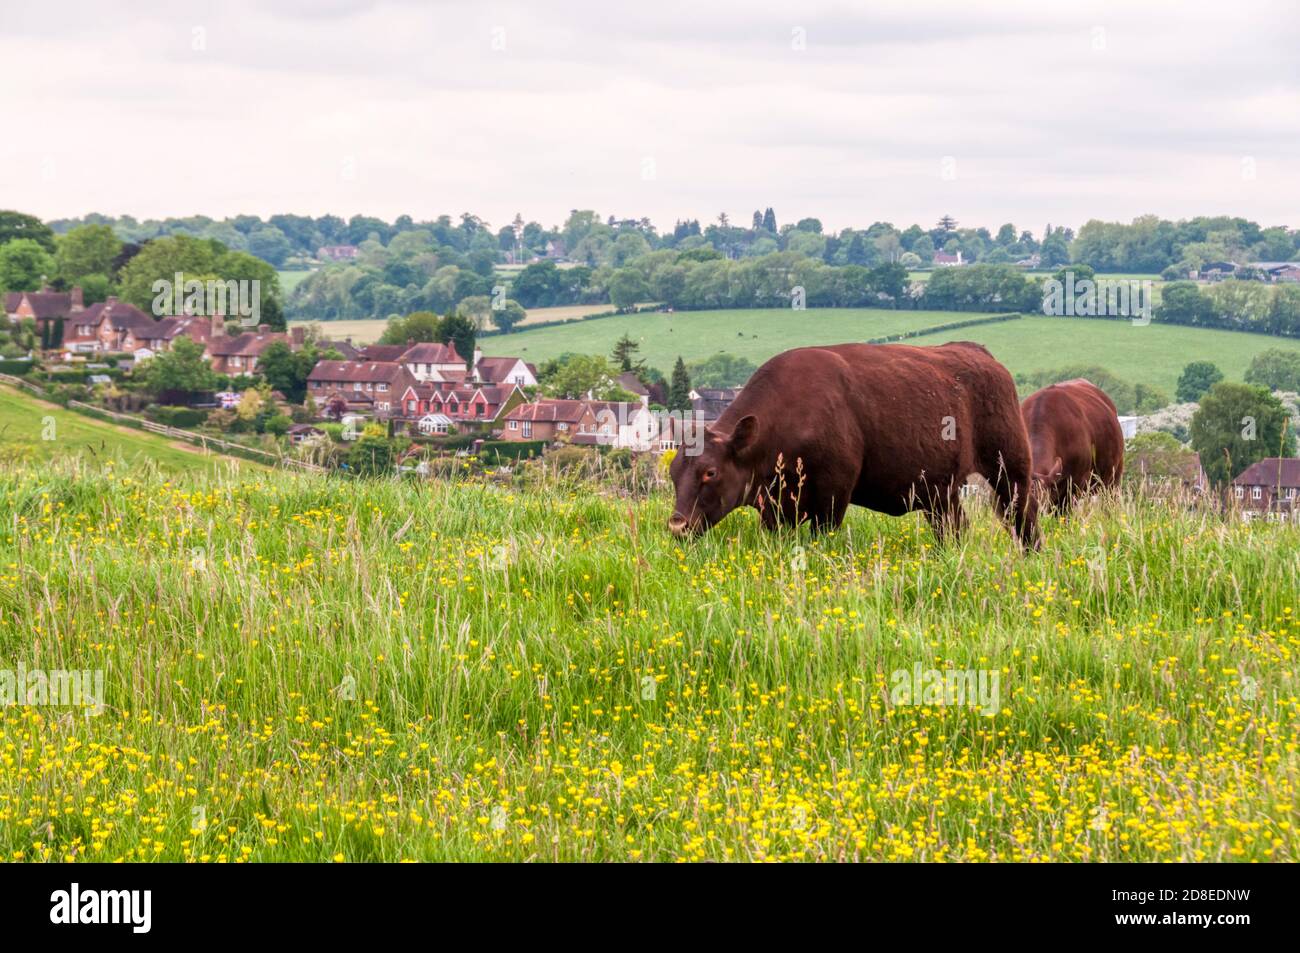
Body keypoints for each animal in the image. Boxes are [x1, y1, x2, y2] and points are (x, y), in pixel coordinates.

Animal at [667, 342, 1040, 548]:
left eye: (710, 472)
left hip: (1010, 470)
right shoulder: (776, 510)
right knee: (953, 527)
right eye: (673, 472)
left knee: (1024, 518)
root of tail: (979, 353)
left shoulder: (832, 495)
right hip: (941, 492)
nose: (677, 525)